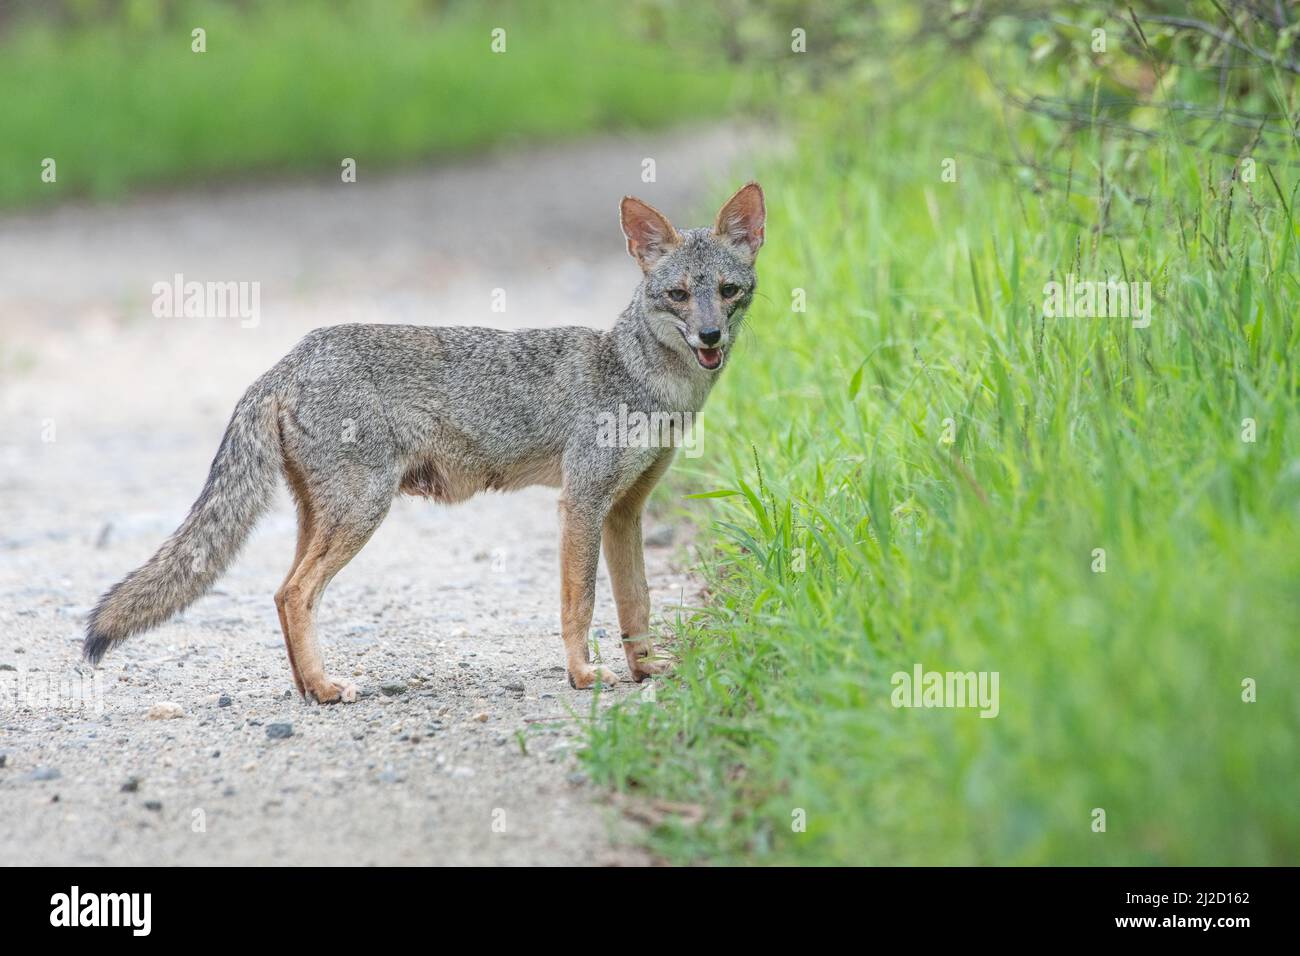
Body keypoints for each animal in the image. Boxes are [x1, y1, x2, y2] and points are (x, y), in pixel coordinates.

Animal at [83, 182, 766, 702]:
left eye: (727, 292)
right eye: (678, 295)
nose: (710, 337)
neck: (638, 378)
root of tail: (289, 359)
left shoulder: (625, 510)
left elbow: (636, 604)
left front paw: (645, 669)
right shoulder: (582, 502)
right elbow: (581, 601)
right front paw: (581, 674)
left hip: (324, 517)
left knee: (281, 594)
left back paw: (308, 686)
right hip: (362, 512)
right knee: (293, 593)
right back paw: (325, 690)